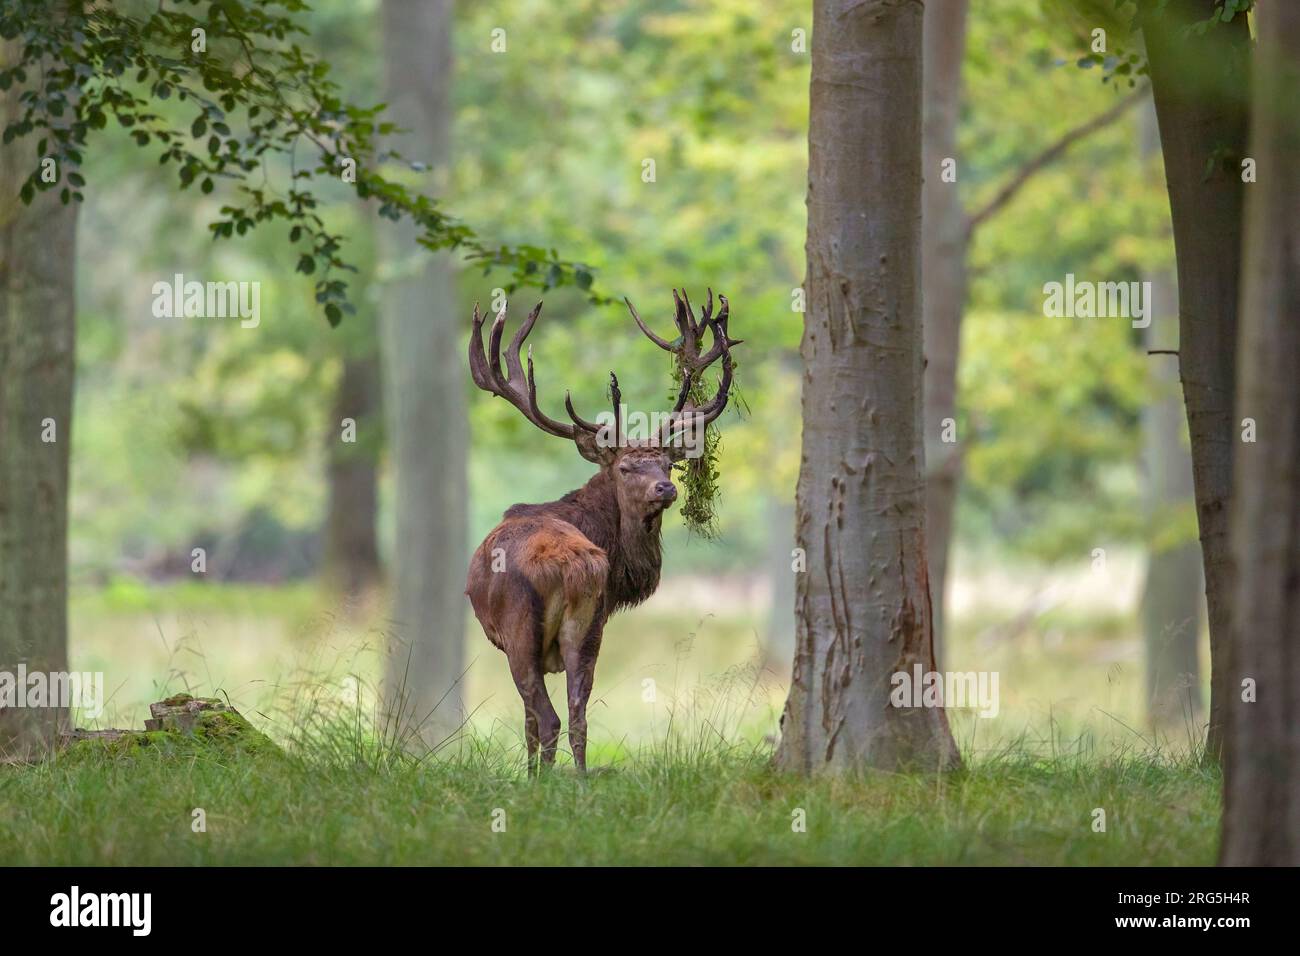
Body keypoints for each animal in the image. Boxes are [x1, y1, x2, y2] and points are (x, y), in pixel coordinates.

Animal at [465, 289, 740, 775]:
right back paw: (580, 781)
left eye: (667, 464)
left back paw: (543, 782)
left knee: (548, 719)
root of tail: (568, 568)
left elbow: (529, 725)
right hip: (589, 630)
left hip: (521, 633)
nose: (666, 487)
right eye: (628, 467)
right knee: (579, 717)